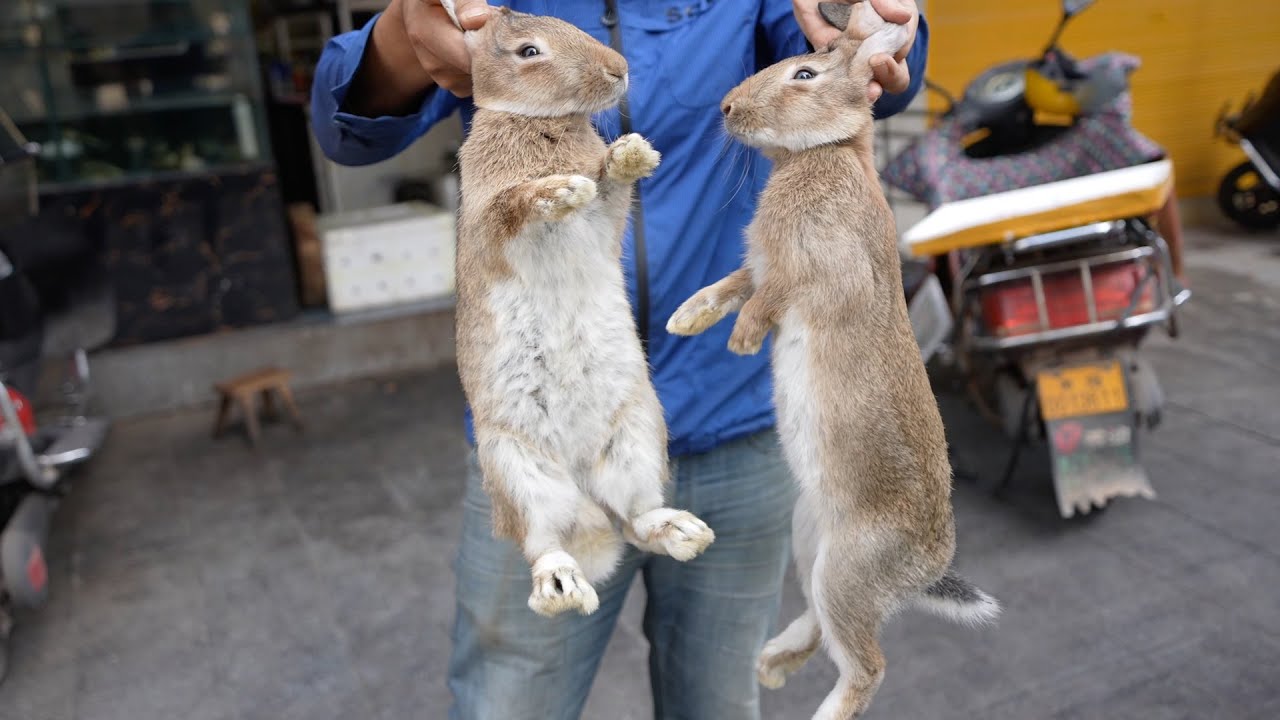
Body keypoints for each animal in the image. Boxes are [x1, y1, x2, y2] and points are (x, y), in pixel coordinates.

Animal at [439, 2, 715, 619]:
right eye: (529, 52)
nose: (619, 70)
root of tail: (587, 496)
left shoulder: (606, 221)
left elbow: (610, 188)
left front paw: (631, 153)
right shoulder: (492, 222)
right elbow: (517, 206)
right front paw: (559, 190)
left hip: (636, 435)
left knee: (636, 518)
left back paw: (684, 533)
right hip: (516, 469)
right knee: (544, 539)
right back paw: (561, 589)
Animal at [665, 2, 999, 717]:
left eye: (805, 74)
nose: (727, 107)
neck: (827, 152)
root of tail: (926, 569)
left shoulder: (816, 269)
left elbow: (771, 297)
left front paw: (742, 340)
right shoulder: (761, 264)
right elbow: (734, 283)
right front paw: (687, 318)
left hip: (847, 569)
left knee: (867, 664)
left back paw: (817, 705)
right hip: (808, 538)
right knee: (822, 627)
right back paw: (770, 666)